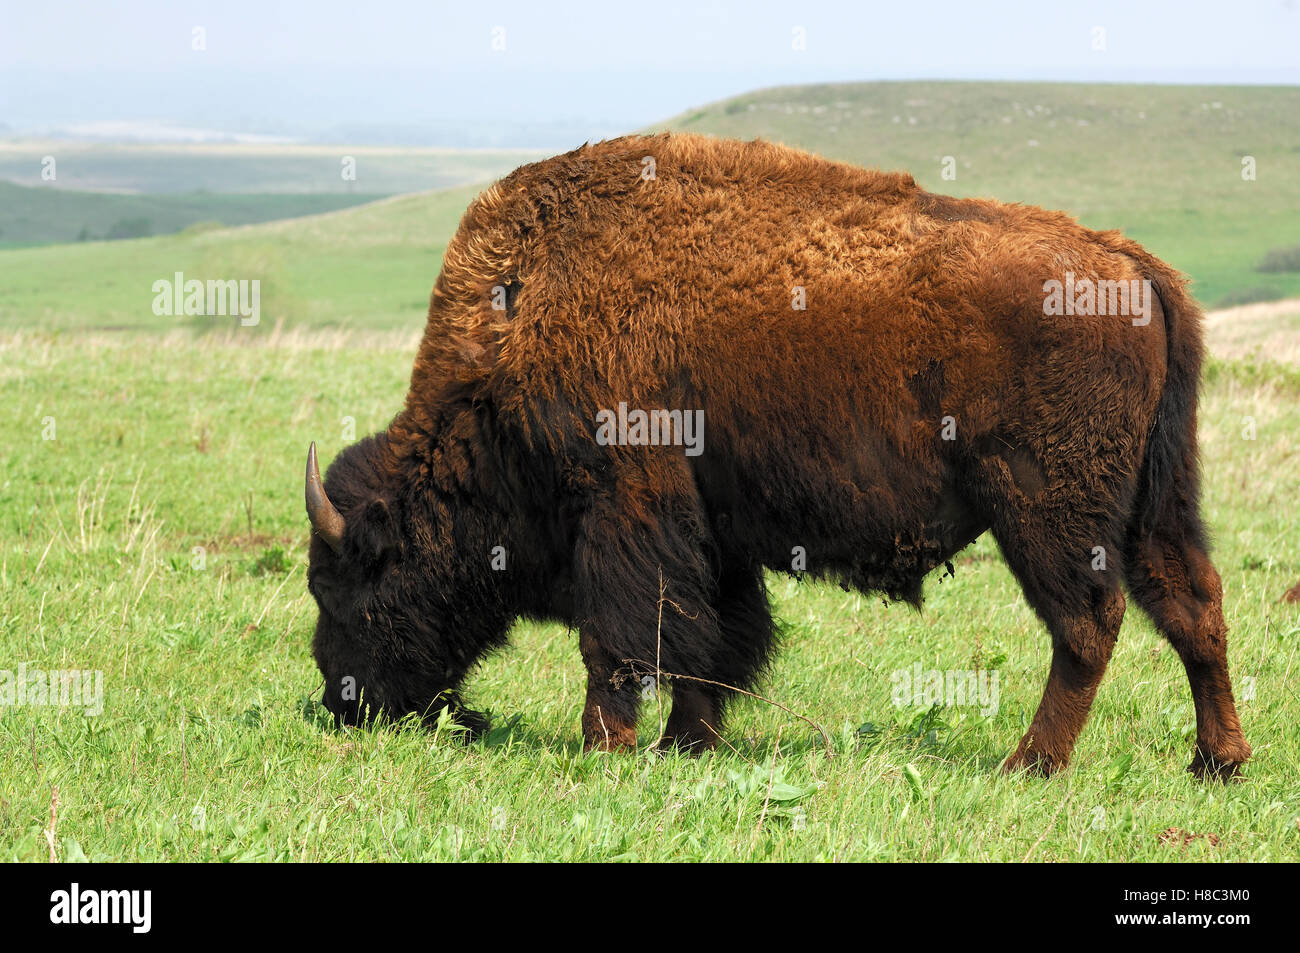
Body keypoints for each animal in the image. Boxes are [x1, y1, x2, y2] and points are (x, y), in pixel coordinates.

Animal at [304, 133, 1250, 779]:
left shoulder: (621, 507)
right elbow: (714, 640)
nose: (340, 701)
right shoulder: (711, 532)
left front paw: (605, 747)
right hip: (1154, 502)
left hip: (1045, 507)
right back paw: (1218, 761)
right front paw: (684, 746)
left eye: (352, 582)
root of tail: (1129, 263)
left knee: (1089, 626)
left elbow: (622, 636)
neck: (521, 309)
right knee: (1193, 606)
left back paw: (1031, 763)